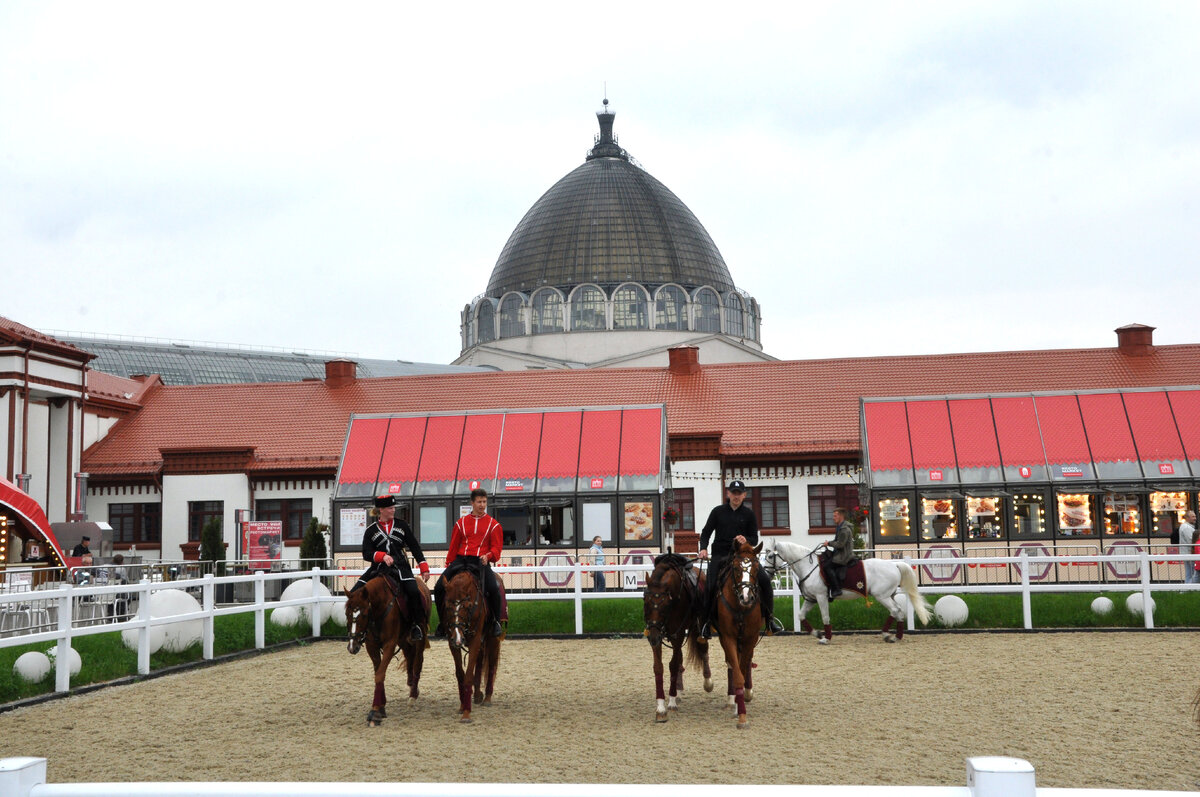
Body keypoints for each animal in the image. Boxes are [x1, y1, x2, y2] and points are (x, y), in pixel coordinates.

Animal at [343, 576, 432, 724]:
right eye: (346, 614)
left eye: (364, 614)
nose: (352, 646)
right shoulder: (372, 646)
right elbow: (378, 672)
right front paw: (381, 707)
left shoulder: (389, 644)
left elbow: (380, 674)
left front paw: (375, 710)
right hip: (403, 639)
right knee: (409, 657)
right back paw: (411, 685)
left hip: (420, 638)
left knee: (418, 662)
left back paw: (413, 695)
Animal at [441, 564, 501, 724]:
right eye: (447, 605)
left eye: (467, 606)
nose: (458, 637)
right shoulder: (452, 643)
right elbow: (460, 675)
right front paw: (462, 706)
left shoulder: (475, 640)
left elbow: (468, 675)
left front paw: (467, 714)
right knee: (479, 663)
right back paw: (478, 695)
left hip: (493, 639)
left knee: (492, 665)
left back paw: (487, 698)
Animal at [638, 554, 710, 720]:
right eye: (646, 603)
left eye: (665, 605)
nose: (653, 637)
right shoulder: (657, 636)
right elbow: (659, 667)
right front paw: (660, 707)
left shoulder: (677, 635)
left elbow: (673, 665)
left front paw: (670, 701)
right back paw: (679, 690)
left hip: (698, 627)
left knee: (703, 649)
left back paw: (707, 682)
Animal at [705, 542, 763, 729]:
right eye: (736, 568)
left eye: (756, 568)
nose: (747, 597)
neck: (740, 607)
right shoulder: (728, 637)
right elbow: (737, 674)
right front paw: (741, 714)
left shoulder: (750, 638)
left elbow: (743, 670)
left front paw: (742, 705)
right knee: (732, 664)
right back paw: (733, 699)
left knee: (747, 661)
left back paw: (747, 693)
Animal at [758, 537, 936, 643]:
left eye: (770, 556)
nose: (766, 574)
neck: (808, 566)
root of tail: (895, 565)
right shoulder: (811, 599)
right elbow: (801, 616)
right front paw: (817, 634)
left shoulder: (821, 597)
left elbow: (825, 617)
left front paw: (826, 638)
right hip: (888, 595)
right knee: (898, 611)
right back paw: (894, 636)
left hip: (882, 596)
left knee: (895, 610)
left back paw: (890, 635)